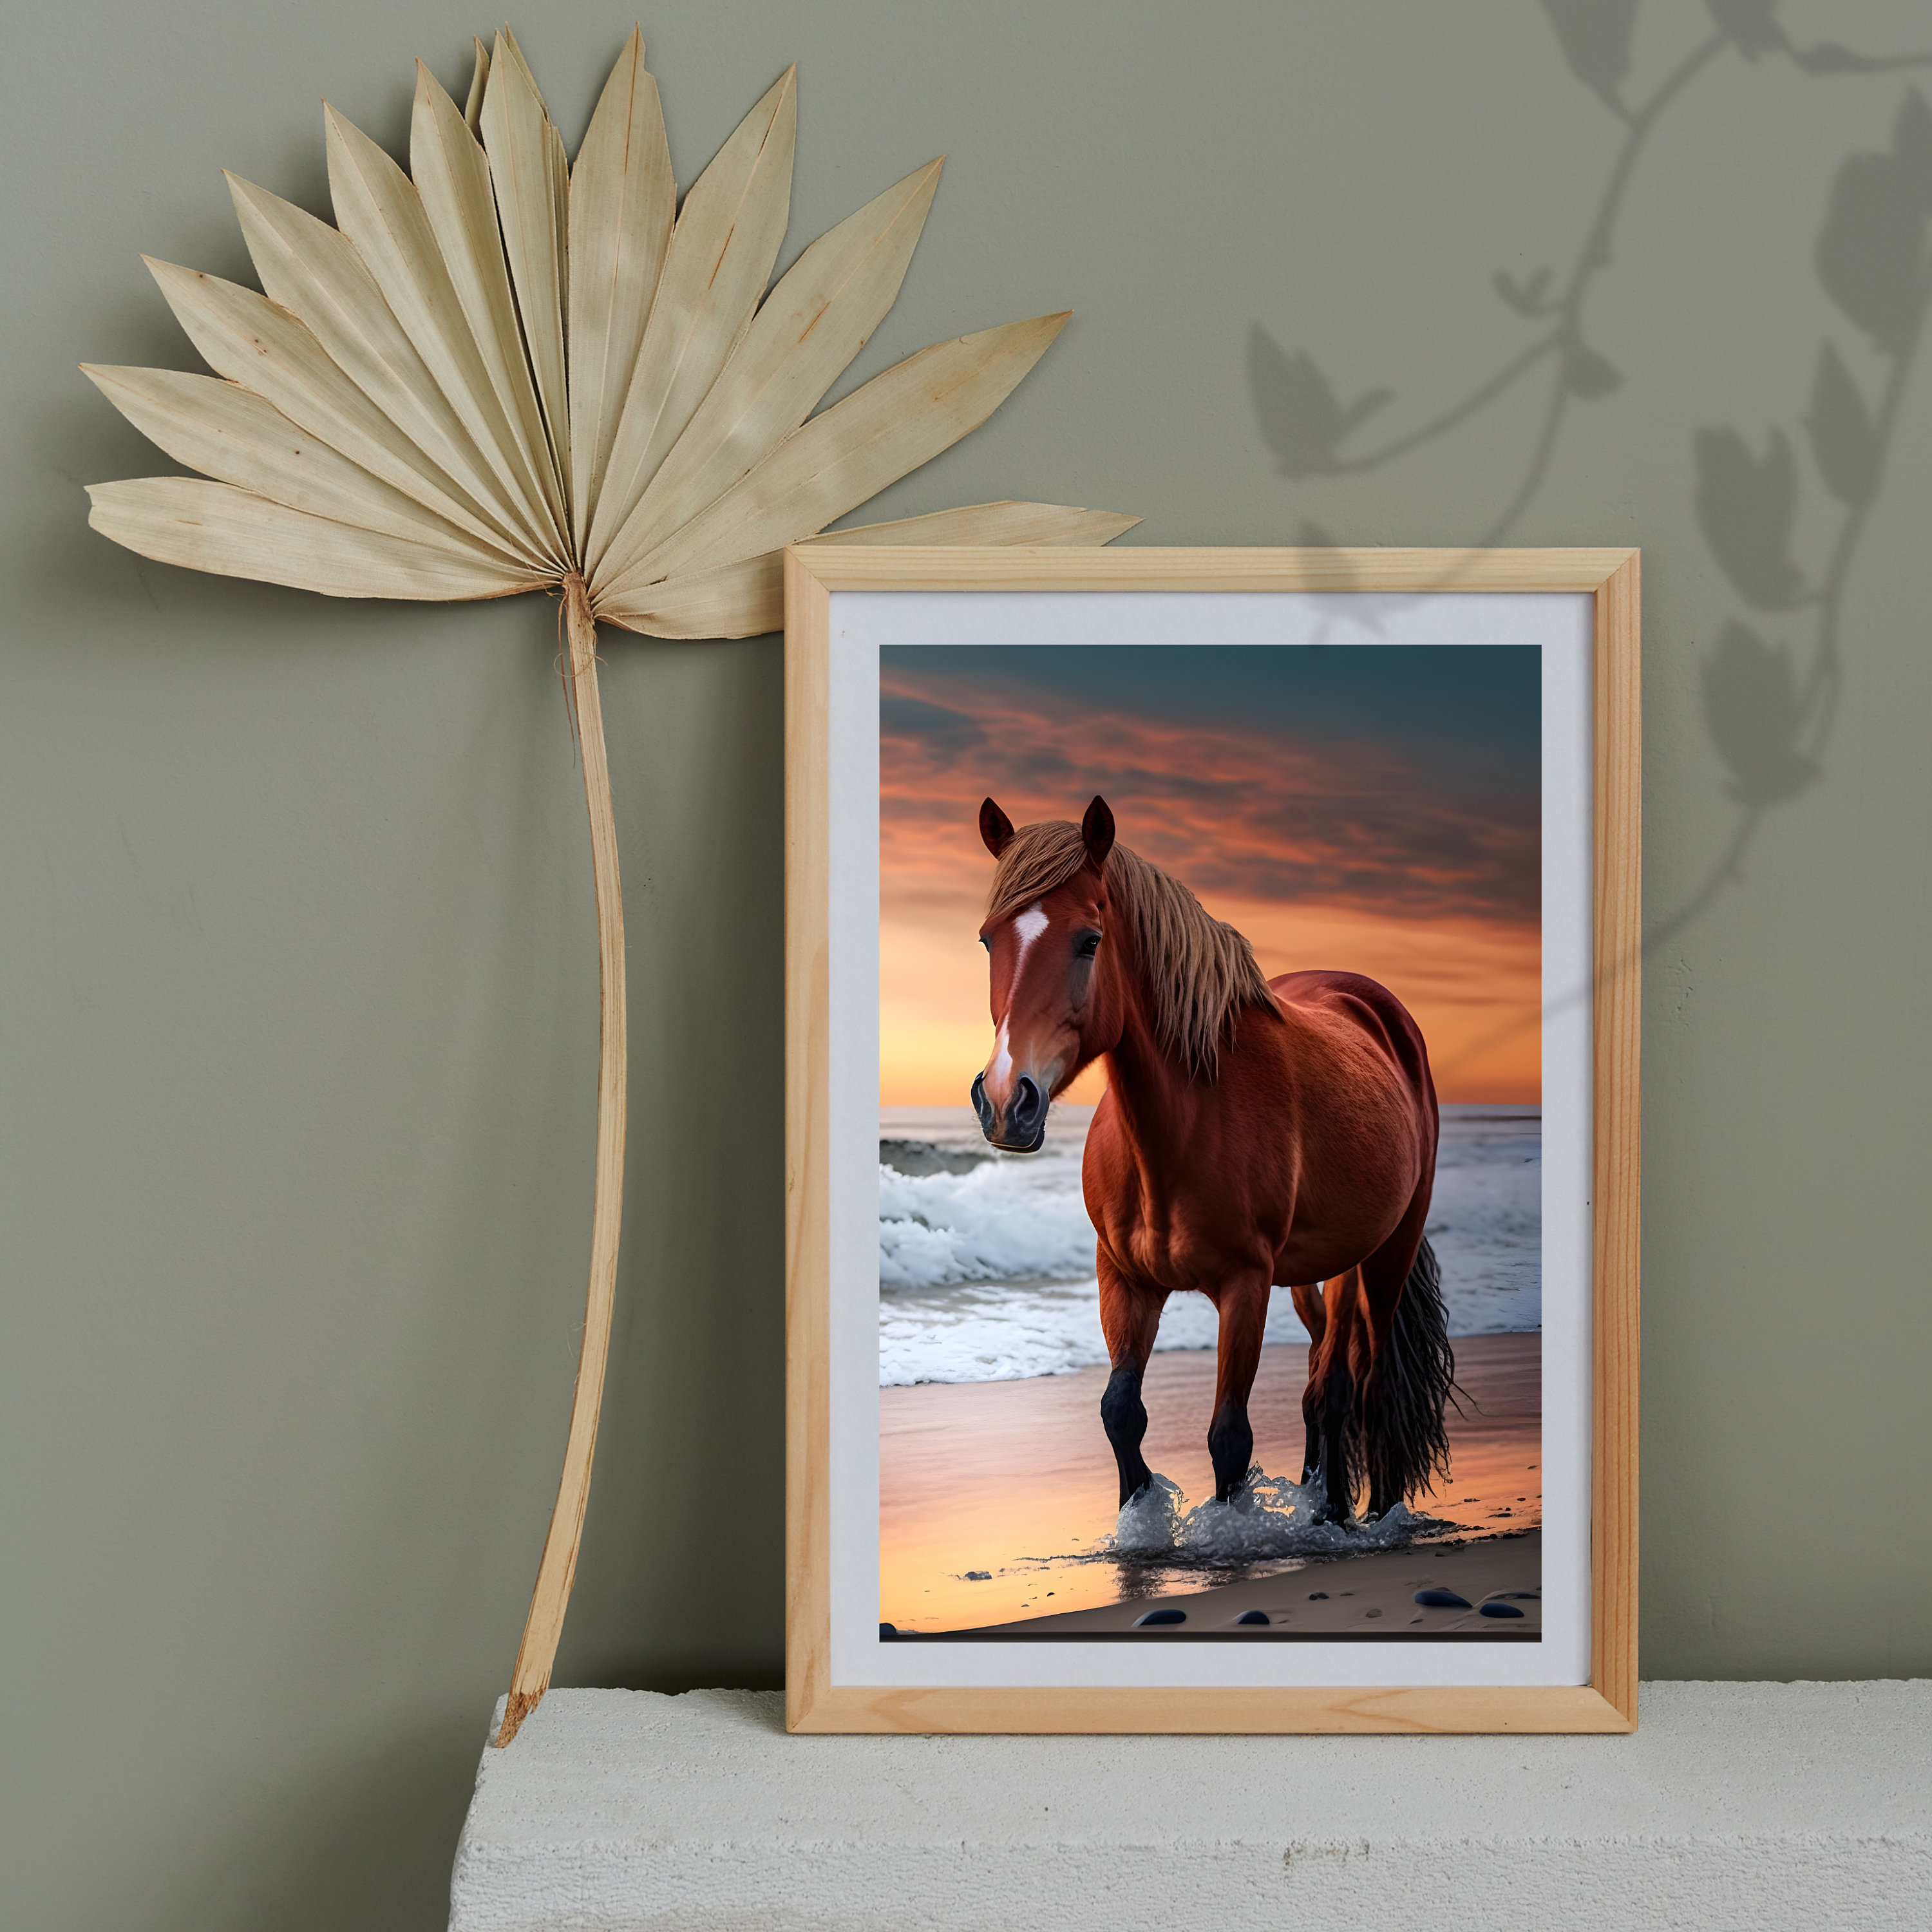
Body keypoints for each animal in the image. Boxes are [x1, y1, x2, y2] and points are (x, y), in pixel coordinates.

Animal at [969, 794, 1455, 1526]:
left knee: (1366, 1385)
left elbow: (1230, 1434)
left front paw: (1231, 1532)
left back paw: (1370, 1514)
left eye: (1090, 941)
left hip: (1384, 1255)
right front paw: (1140, 1518)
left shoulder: (1244, 1283)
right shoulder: (1124, 1279)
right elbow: (1121, 1412)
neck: (1185, 1122)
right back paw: (1322, 1501)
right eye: (988, 939)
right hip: (1320, 1271)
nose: (1005, 1100)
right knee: (1324, 1383)